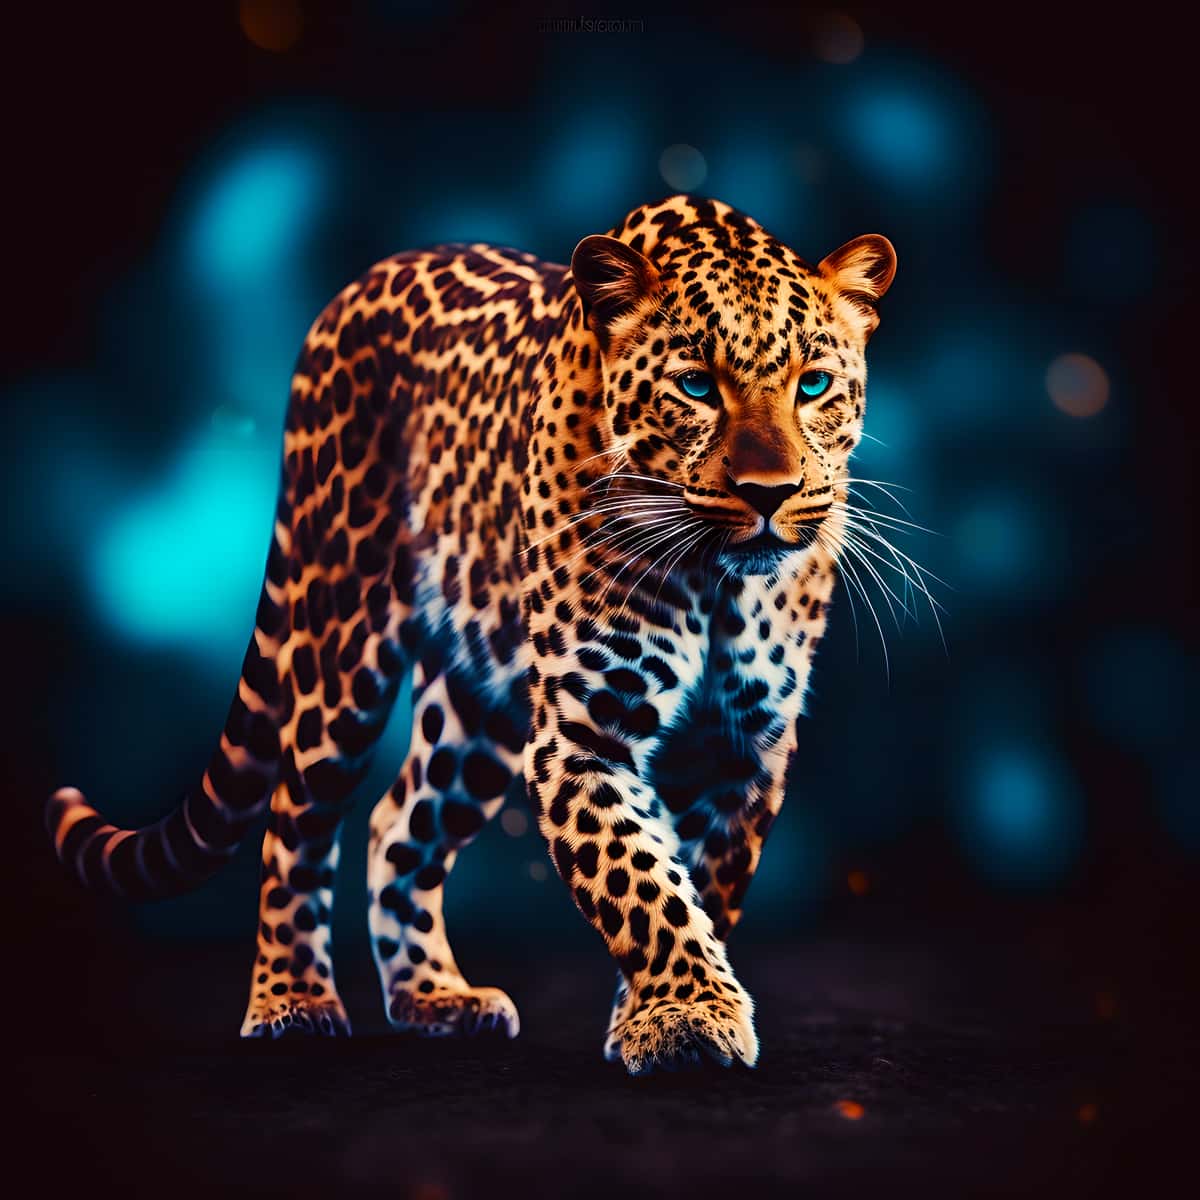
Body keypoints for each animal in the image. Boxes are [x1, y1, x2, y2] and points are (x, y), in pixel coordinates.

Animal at [47, 194, 896, 1075]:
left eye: (814, 384)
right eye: (695, 384)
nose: (770, 492)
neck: (720, 581)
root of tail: (359, 284)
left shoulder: (744, 752)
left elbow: (695, 886)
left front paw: (651, 1013)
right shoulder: (583, 737)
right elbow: (641, 884)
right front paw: (689, 1016)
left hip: (475, 711)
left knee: (398, 826)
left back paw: (434, 998)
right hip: (339, 643)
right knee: (297, 819)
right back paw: (292, 1000)